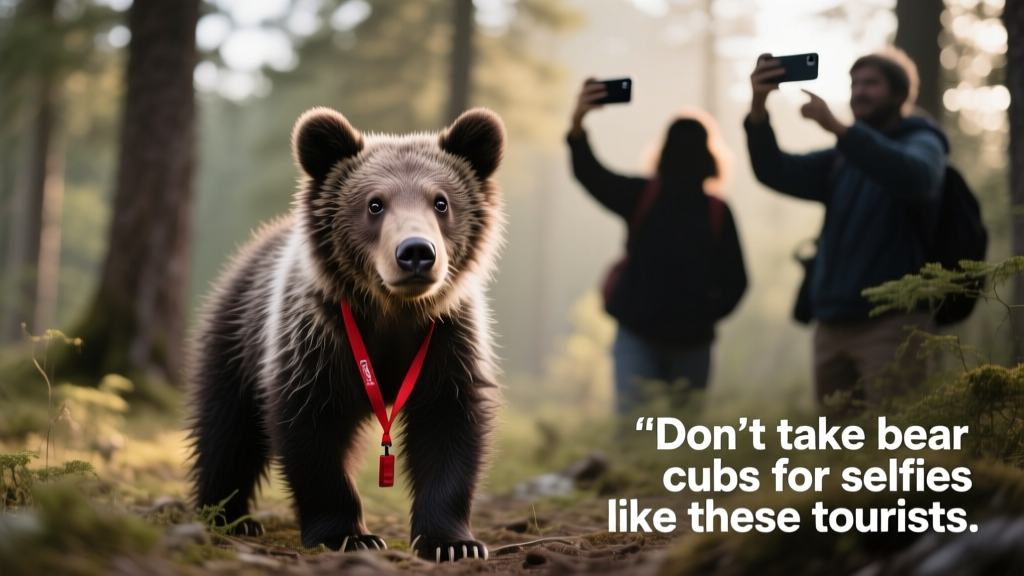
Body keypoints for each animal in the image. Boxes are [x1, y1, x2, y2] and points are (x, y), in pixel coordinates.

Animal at [186, 106, 505, 562]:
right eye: (375, 203)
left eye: (441, 201)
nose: (416, 252)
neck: (392, 312)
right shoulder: (316, 339)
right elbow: (312, 431)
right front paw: (348, 534)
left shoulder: (448, 340)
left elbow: (449, 427)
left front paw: (452, 543)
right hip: (236, 335)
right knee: (226, 430)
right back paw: (228, 515)